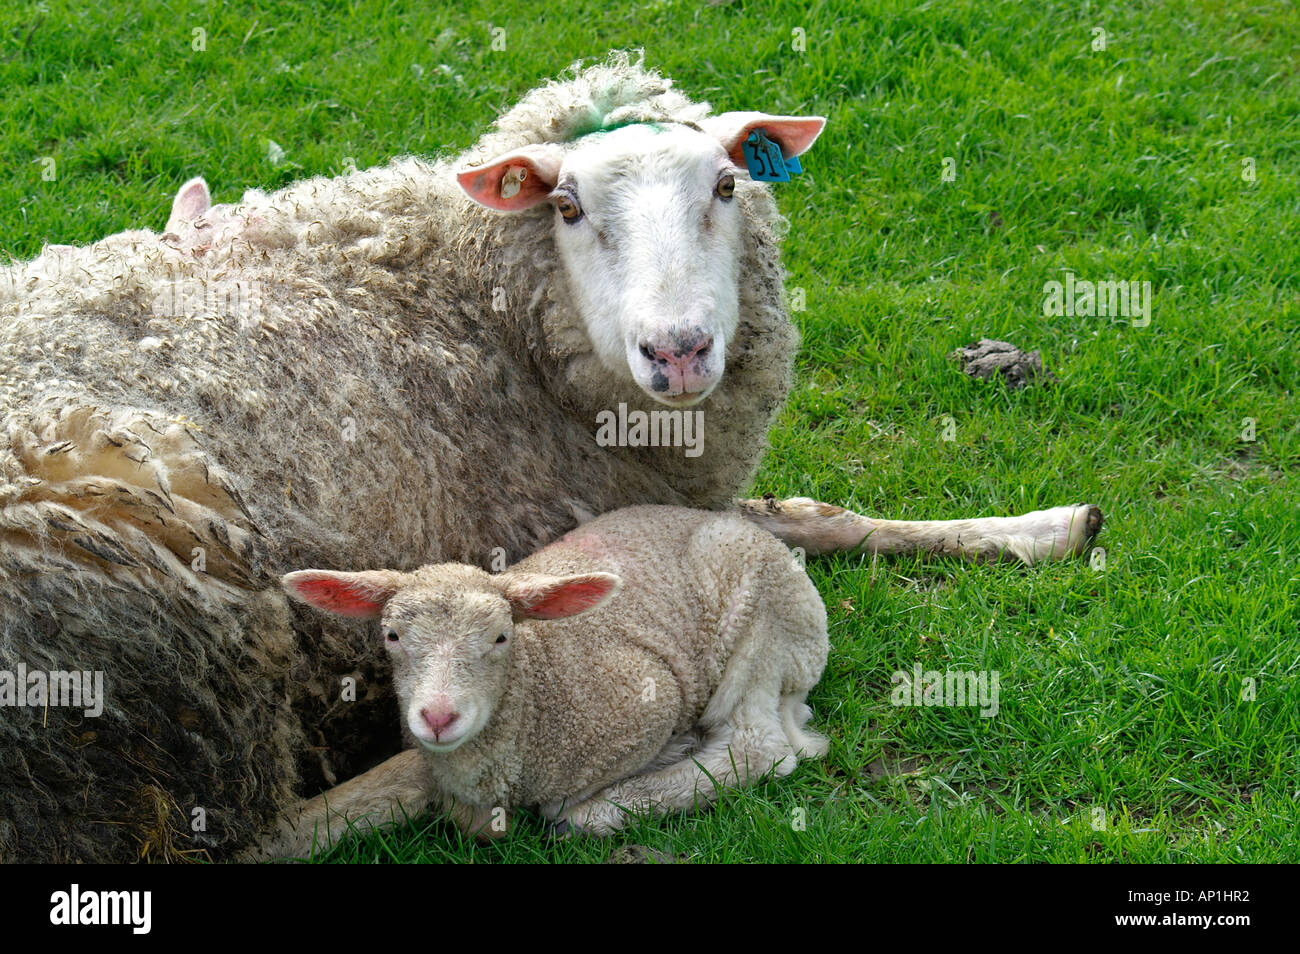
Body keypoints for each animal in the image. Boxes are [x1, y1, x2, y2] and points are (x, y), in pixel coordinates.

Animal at [271, 504, 829, 851]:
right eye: (391, 636)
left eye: (501, 637)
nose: (438, 717)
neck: (534, 693)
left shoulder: (649, 696)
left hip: (762, 623)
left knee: (758, 747)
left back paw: (598, 812)